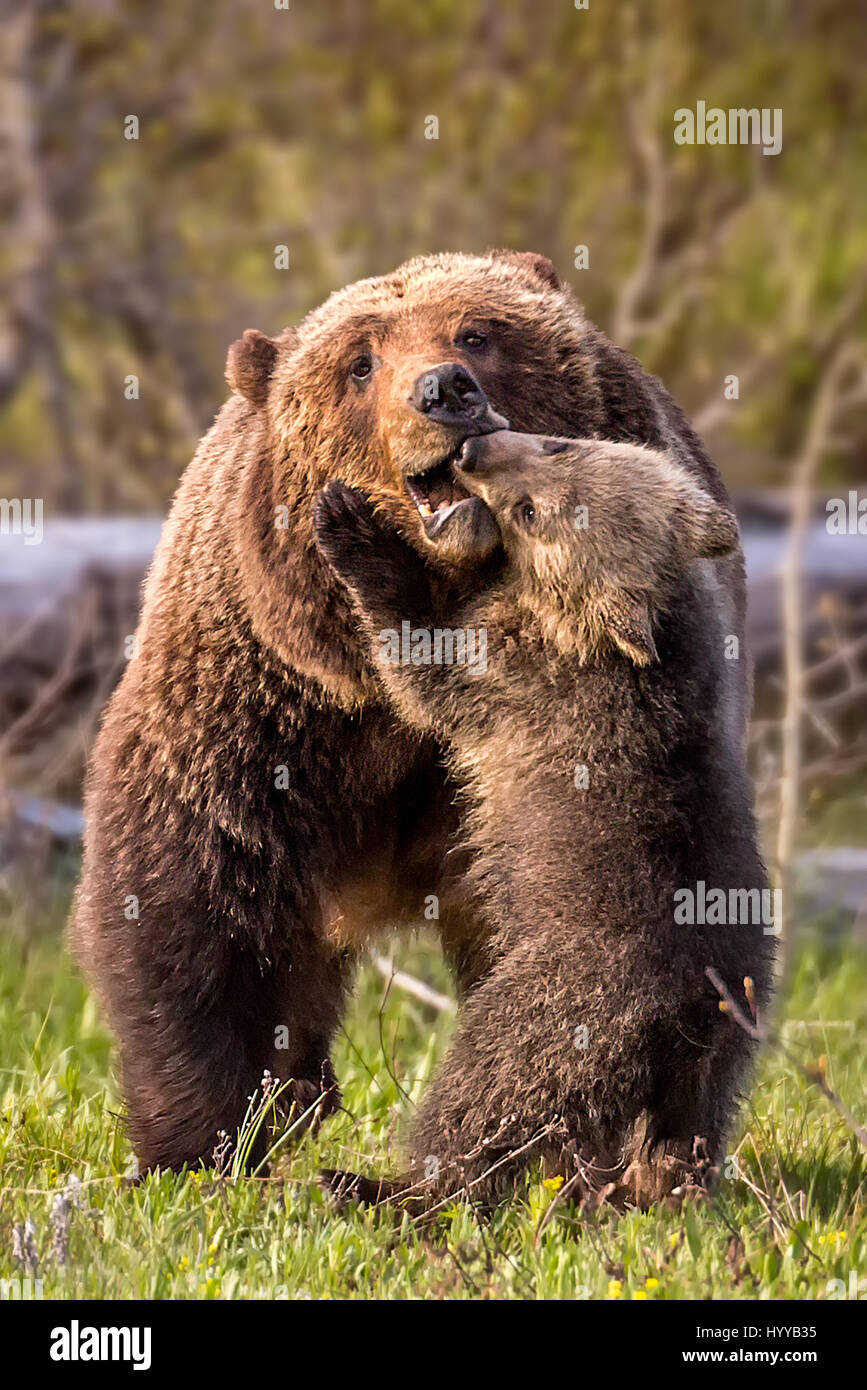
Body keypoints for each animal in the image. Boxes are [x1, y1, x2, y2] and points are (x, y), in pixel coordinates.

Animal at [313, 431, 775, 1211]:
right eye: (560, 444)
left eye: (531, 513)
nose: (473, 449)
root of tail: (686, 1017)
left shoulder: (524, 678)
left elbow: (427, 664)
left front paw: (354, 527)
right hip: (731, 1038)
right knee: (684, 1137)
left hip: (562, 1004)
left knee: (483, 1098)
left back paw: (374, 1183)